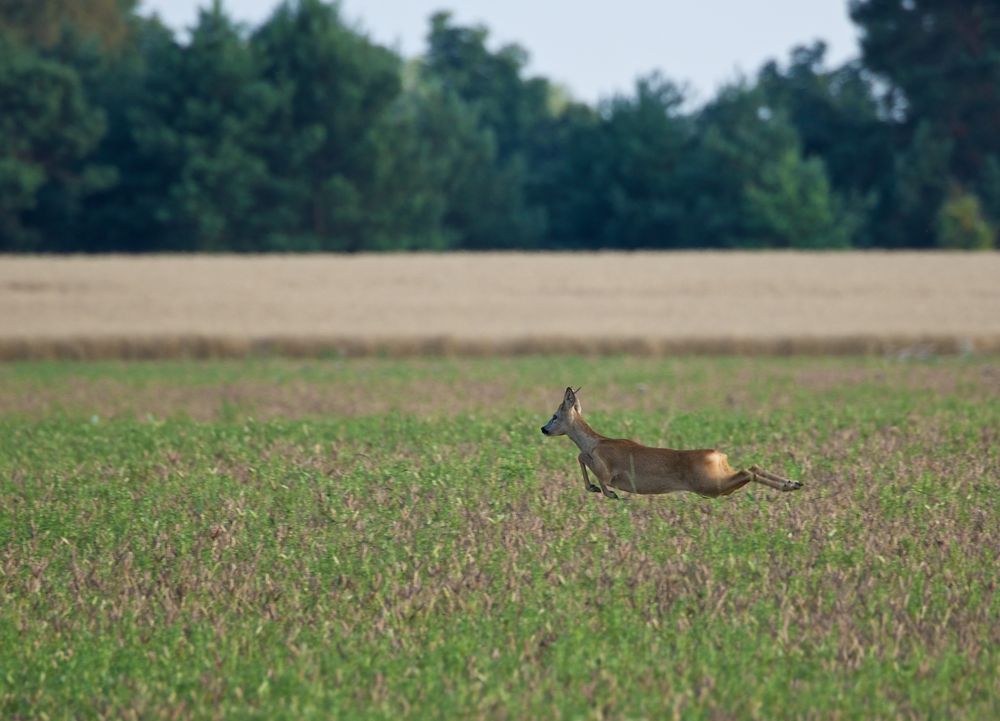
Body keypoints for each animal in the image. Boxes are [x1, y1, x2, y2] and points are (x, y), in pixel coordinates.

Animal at [541, 387, 802, 499]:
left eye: (555, 415)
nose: (543, 429)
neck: (594, 441)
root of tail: (718, 455)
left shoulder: (606, 467)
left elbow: (582, 457)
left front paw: (605, 491)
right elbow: (581, 457)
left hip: (710, 485)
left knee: (749, 471)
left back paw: (790, 485)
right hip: (718, 483)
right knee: (752, 467)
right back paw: (793, 483)